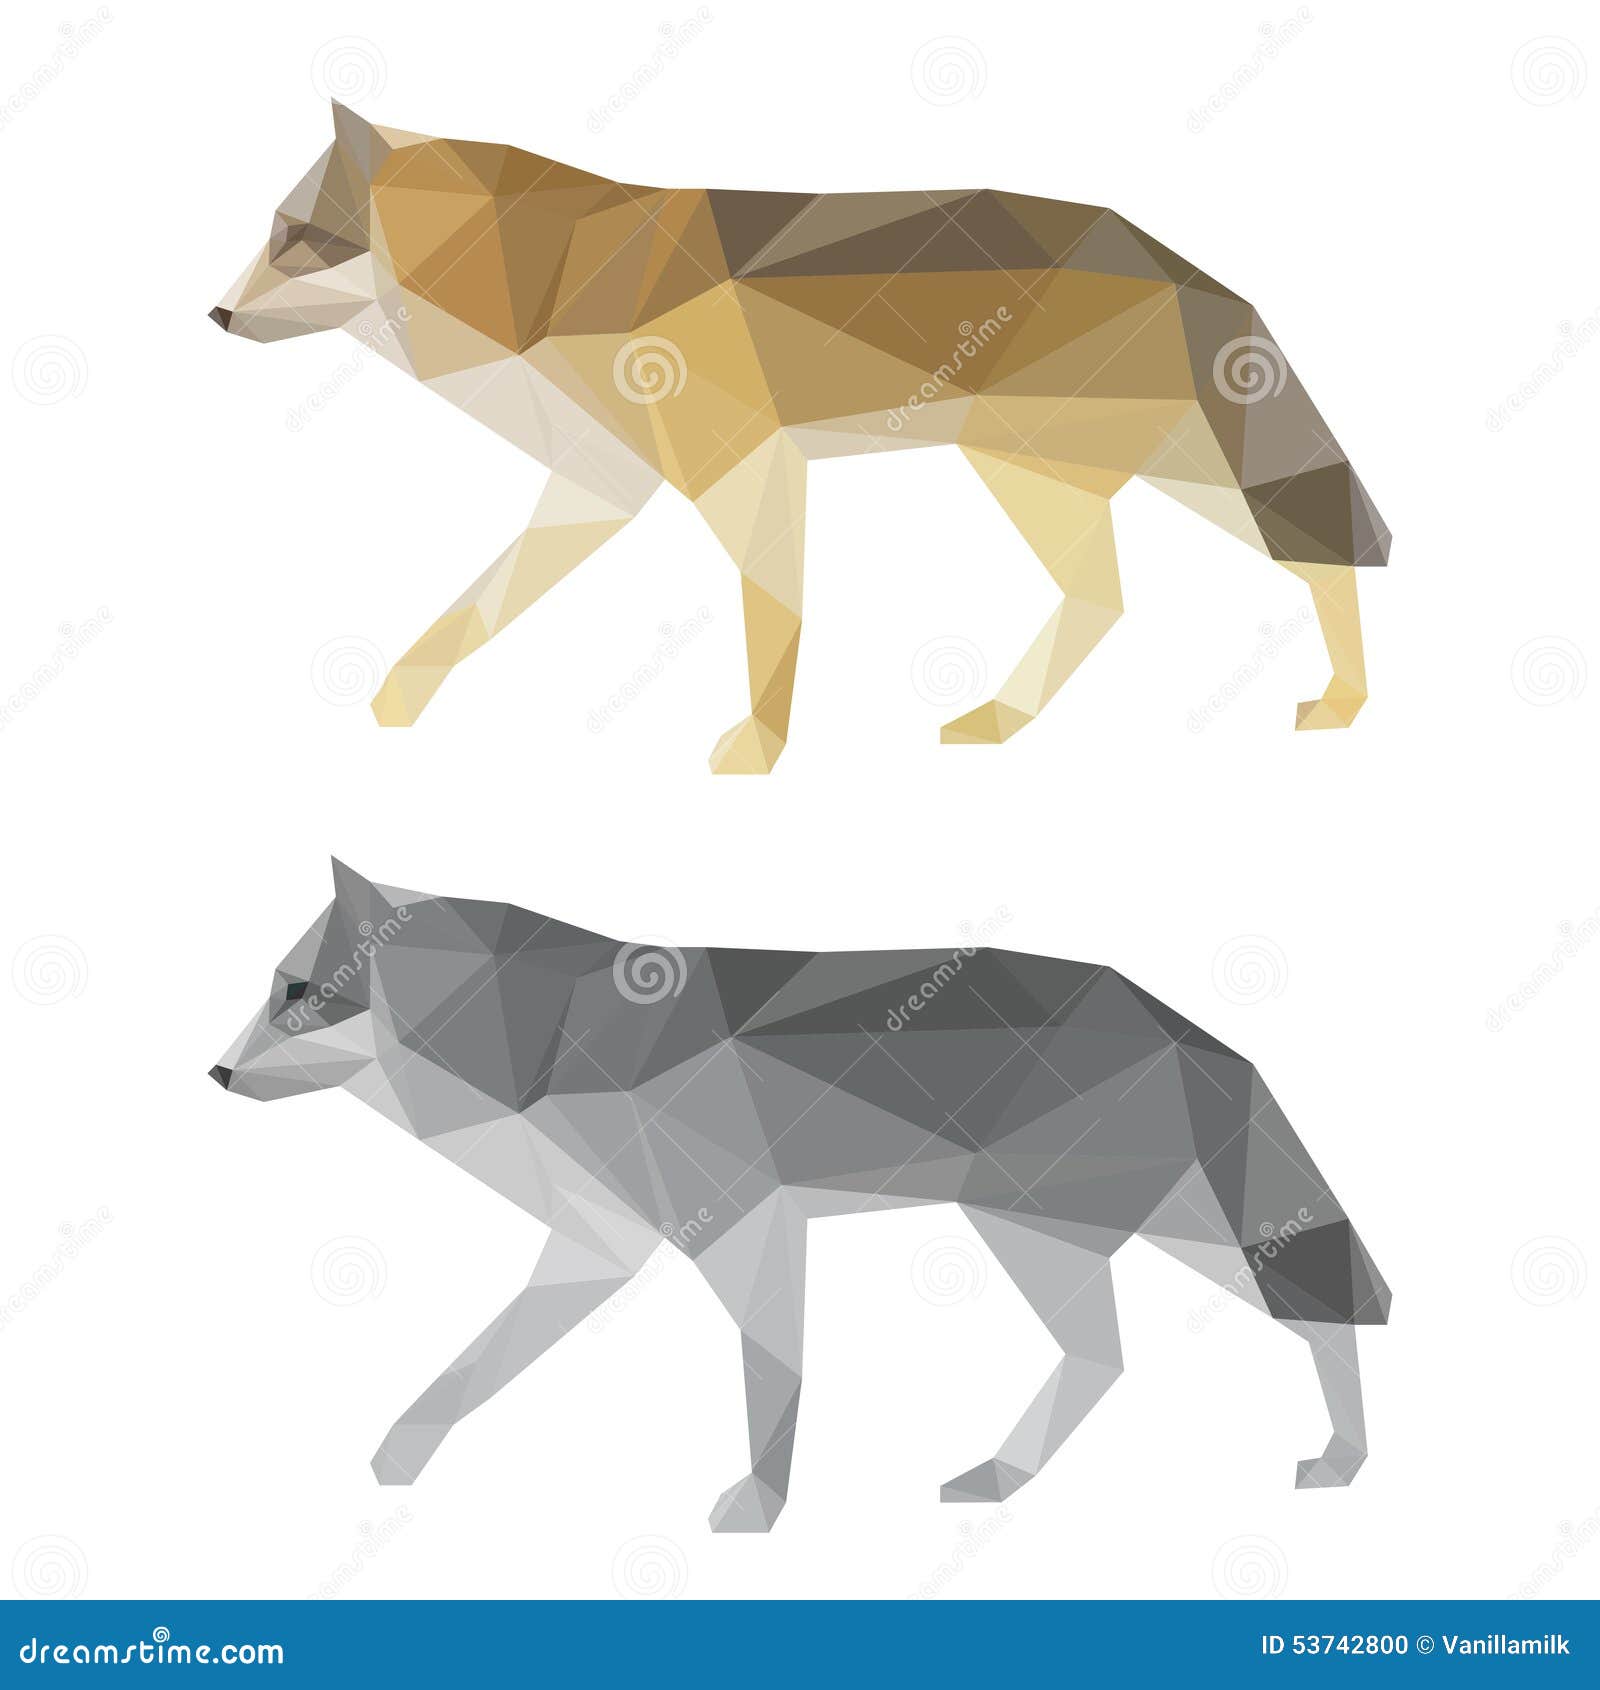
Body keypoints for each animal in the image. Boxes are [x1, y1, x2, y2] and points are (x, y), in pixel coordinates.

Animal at [211, 105, 1389, 770]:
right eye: (268, 233)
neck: (551, 279)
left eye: (298, 239)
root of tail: (1168, 253)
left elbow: (772, 621)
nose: (214, 317)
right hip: (1114, 479)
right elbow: (473, 607)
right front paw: (402, 700)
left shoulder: (748, 472)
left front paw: (762, 752)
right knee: (1175, 587)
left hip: (1056, 477)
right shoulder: (598, 490)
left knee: (1229, 575)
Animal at [211, 862, 1390, 1529]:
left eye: (296, 994)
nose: (214, 1074)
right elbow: (472, 1365)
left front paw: (761, 1511)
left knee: (1261, 1331)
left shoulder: (747, 1229)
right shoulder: (597, 1252)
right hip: (1119, 1237)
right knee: (1164, 1350)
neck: (549, 1038)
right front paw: (403, 1455)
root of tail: (1178, 1019)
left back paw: (1330, 1463)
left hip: (1086, 1236)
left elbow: (774, 1378)